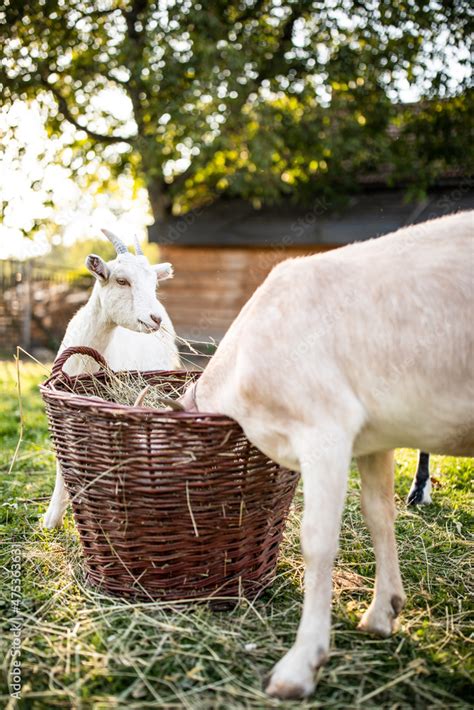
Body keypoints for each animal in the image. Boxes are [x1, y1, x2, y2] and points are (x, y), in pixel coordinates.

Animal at [179, 211, 474, 699]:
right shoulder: (373, 438)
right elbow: (379, 515)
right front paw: (382, 613)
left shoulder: (325, 429)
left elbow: (317, 541)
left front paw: (299, 666)